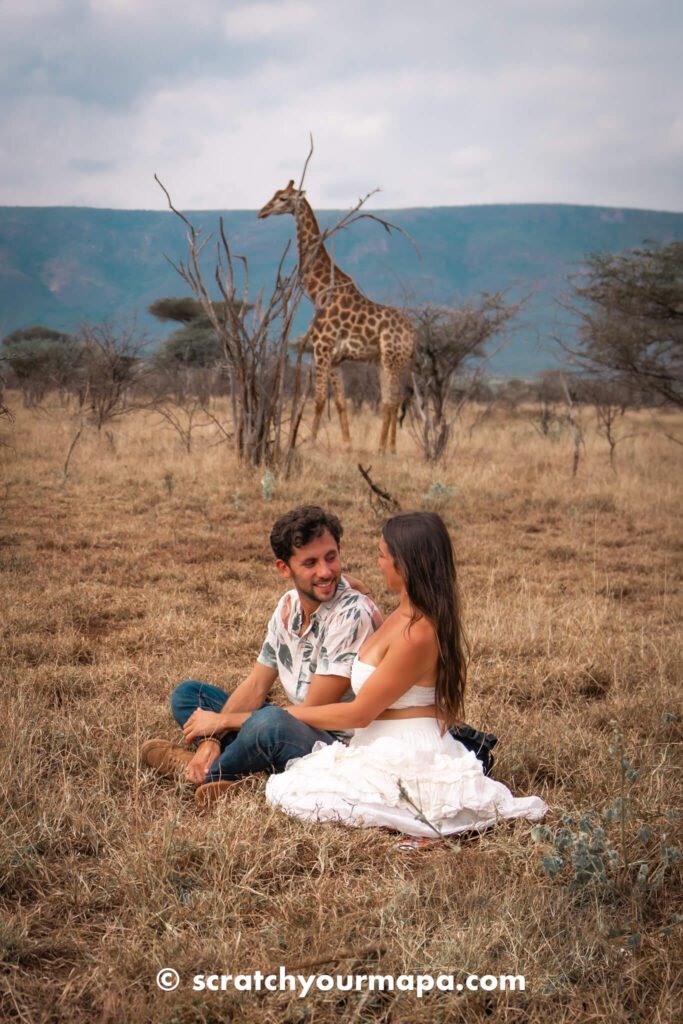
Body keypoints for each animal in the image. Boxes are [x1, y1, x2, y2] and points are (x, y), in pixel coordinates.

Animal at [258, 181, 415, 453]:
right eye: (276, 195)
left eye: (283, 198)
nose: (262, 212)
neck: (318, 293)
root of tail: (413, 333)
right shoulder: (335, 358)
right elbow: (341, 401)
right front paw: (347, 444)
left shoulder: (321, 348)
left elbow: (319, 399)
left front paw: (309, 444)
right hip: (388, 360)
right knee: (391, 400)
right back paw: (387, 447)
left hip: (392, 358)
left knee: (391, 400)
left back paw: (384, 449)